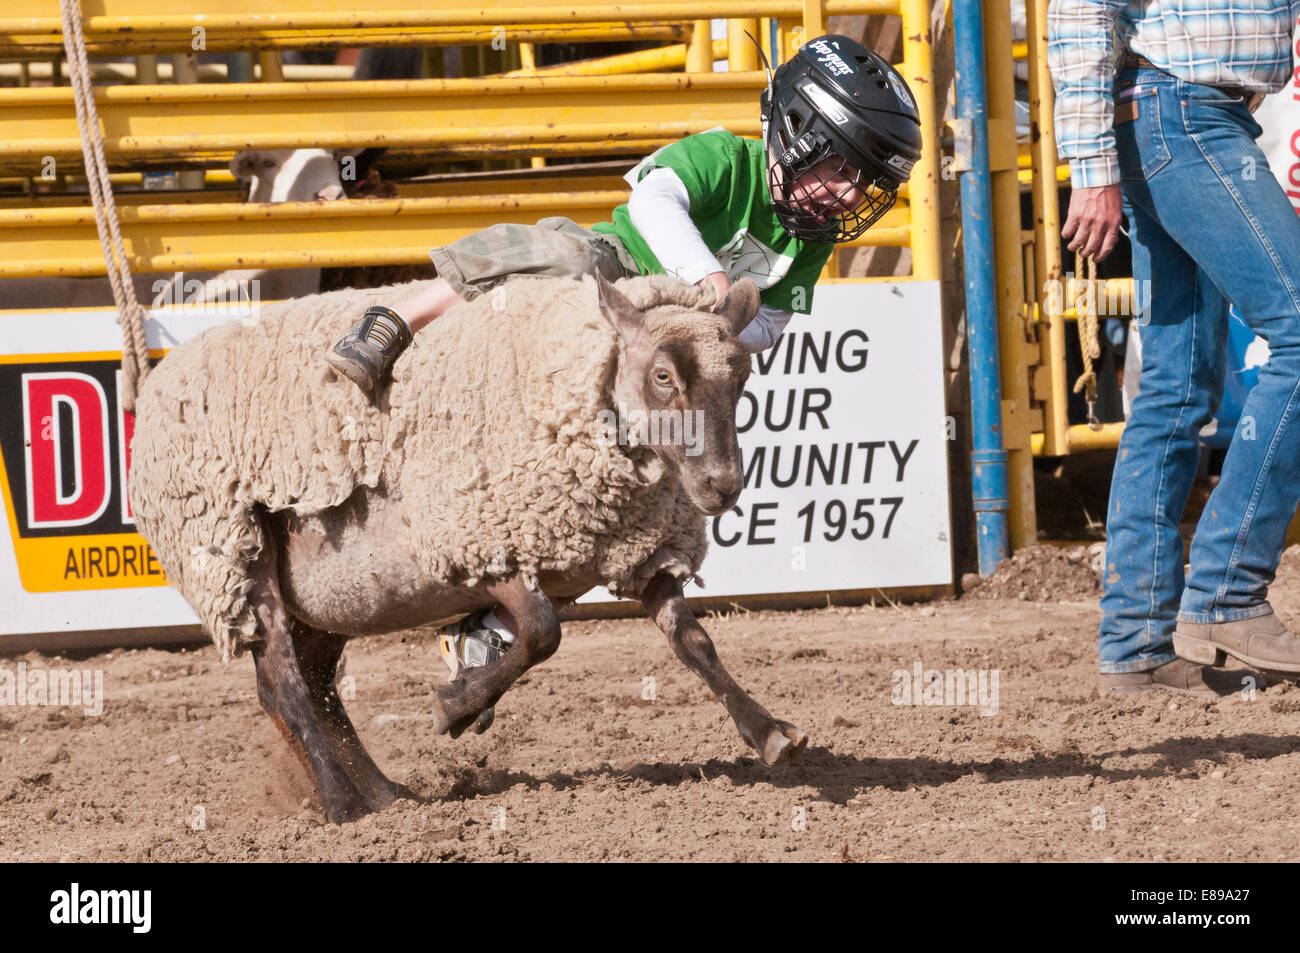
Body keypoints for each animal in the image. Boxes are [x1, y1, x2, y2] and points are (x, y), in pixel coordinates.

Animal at [128, 271, 808, 822]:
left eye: (743, 376)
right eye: (663, 374)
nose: (721, 486)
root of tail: (157, 381)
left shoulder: (639, 553)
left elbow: (694, 642)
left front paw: (768, 731)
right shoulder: (479, 537)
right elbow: (541, 633)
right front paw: (454, 708)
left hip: (330, 595)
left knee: (319, 684)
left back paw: (385, 796)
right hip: (233, 551)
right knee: (283, 686)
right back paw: (343, 805)